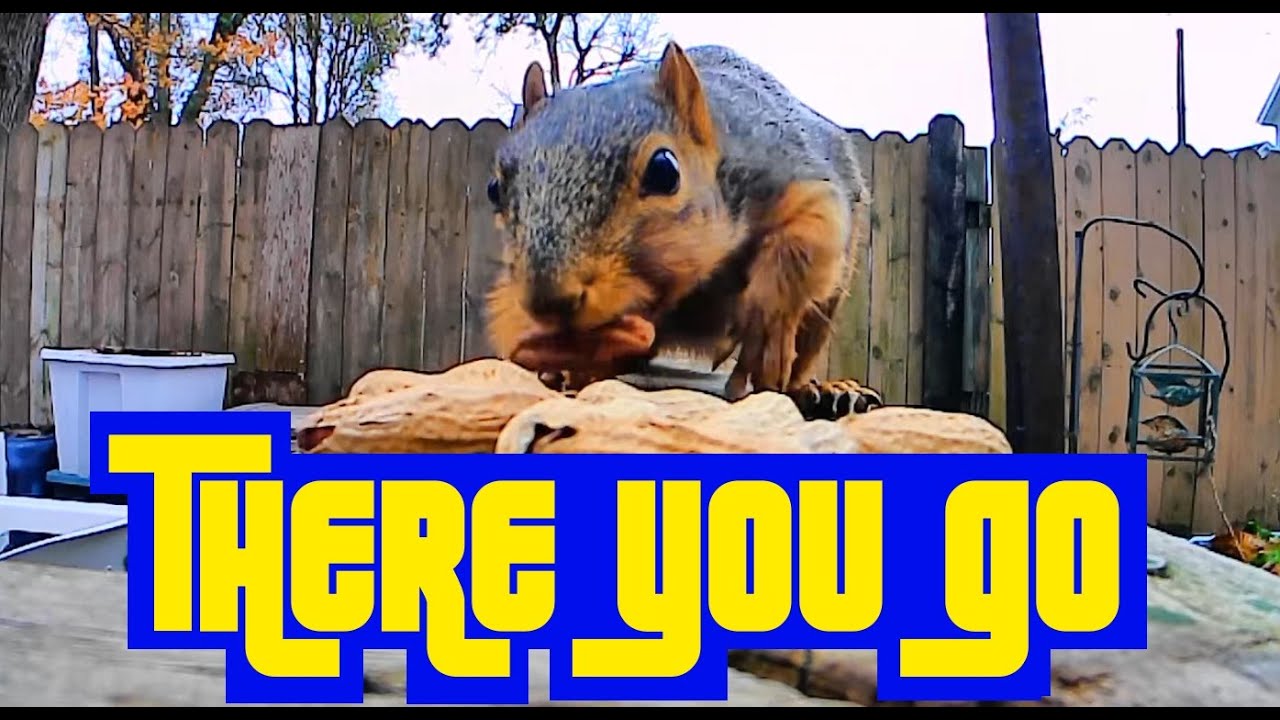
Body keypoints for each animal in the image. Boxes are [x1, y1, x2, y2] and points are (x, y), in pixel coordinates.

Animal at [483, 41, 884, 420]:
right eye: (494, 189)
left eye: (665, 171)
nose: (550, 300)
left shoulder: (797, 176)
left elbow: (809, 232)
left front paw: (767, 322)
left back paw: (825, 391)